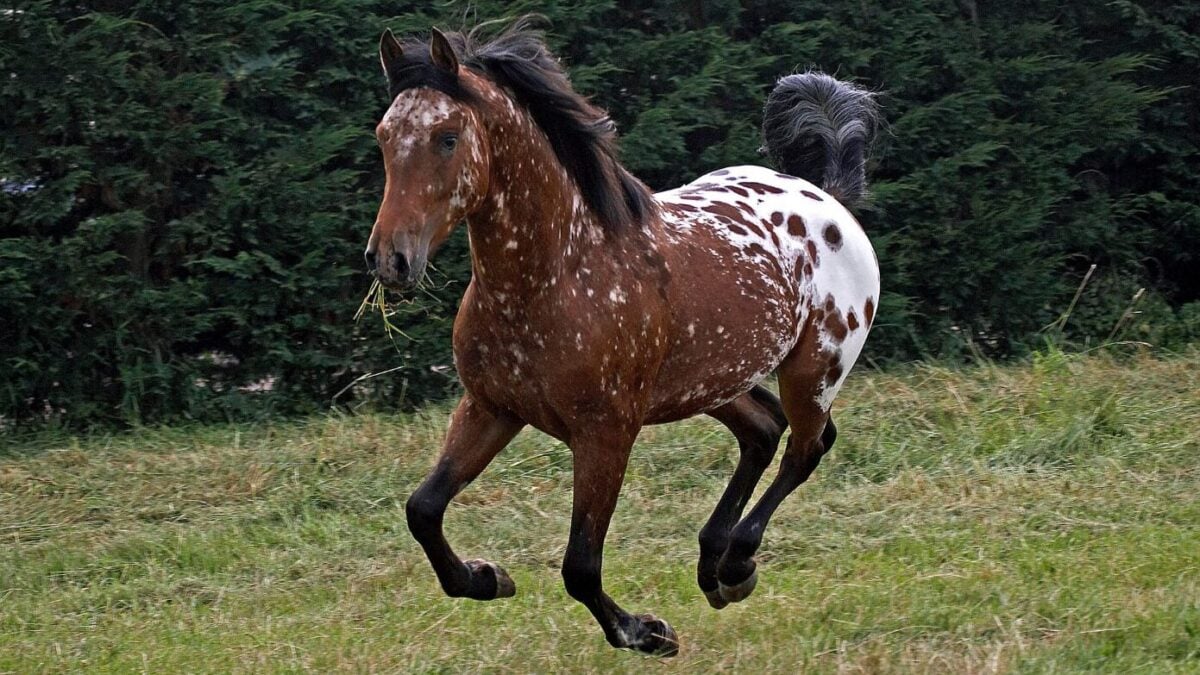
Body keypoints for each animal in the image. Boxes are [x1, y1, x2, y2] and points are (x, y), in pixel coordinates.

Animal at [365, 20, 880, 656]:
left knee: (807, 446)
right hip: (708, 382)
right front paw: (486, 578)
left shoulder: (605, 433)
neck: (556, 276)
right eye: (384, 135)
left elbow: (580, 565)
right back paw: (714, 566)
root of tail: (827, 197)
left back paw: (736, 565)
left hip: (813, 372)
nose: (390, 260)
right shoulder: (491, 408)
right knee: (764, 429)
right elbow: (423, 510)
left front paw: (646, 632)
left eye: (447, 137)